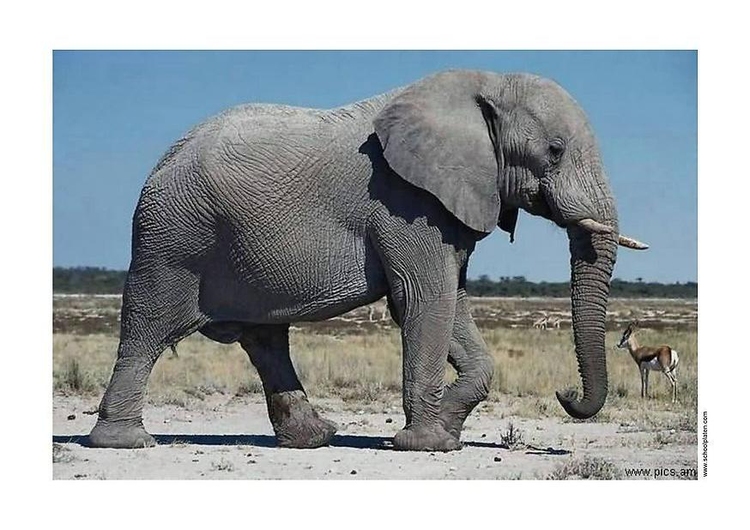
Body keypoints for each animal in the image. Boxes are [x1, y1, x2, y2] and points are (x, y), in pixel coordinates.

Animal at [88, 69, 647, 451]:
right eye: (554, 150)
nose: (565, 394)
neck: (483, 85)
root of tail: (161, 161)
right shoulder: (406, 201)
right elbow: (424, 301)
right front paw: (429, 443)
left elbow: (451, 300)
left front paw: (446, 427)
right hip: (171, 241)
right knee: (148, 330)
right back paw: (125, 442)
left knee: (265, 339)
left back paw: (314, 437)